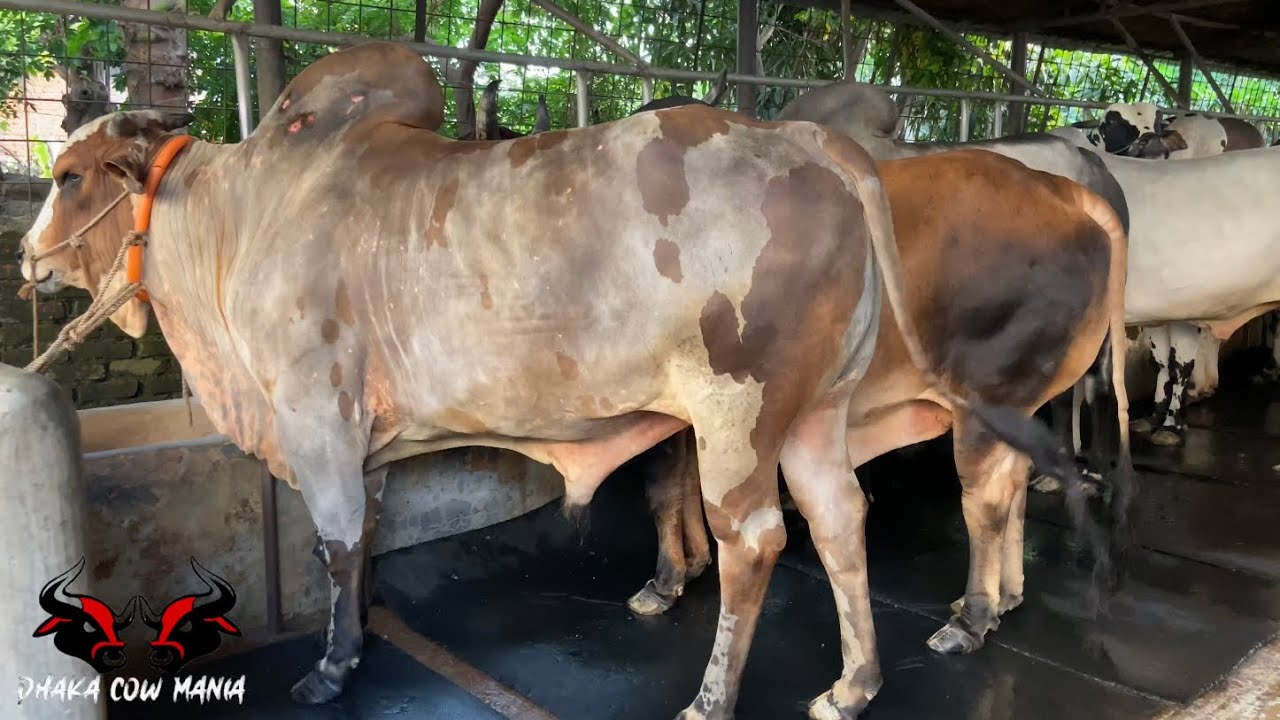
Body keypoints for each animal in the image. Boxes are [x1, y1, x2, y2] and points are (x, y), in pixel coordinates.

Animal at [627, 146, 1135, 662]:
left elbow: (662, 489)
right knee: (1014, 481)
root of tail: (1058, 187)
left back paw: (971, 619)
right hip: (1016, 407)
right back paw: (1006, 596)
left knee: (985, 501)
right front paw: (694, 563)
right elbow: (685, 484)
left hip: (987, 401)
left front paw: (664, 582)